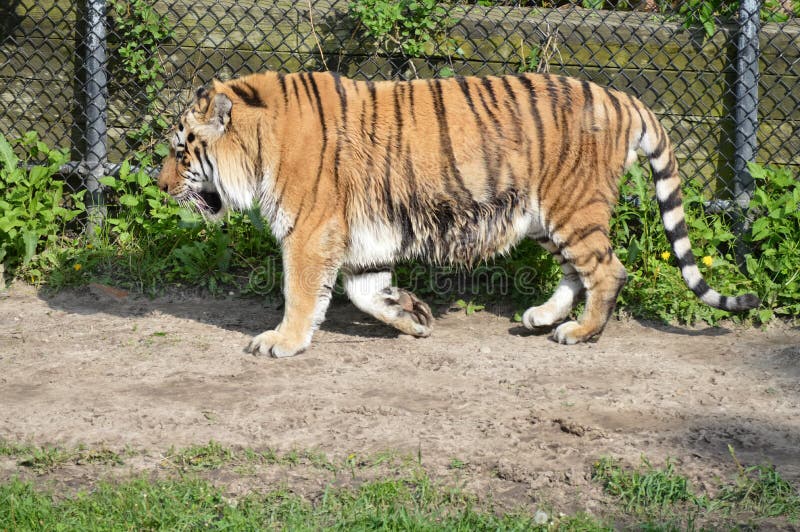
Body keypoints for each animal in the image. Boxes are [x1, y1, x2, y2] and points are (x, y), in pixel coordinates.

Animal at [157, 70, 759, 358]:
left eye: (181, 150)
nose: (160, 186)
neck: (259, 144)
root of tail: (622, 97)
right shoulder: (356, 236)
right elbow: (363, 292)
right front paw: (413, 316)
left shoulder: (310, 232)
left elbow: (301, 294)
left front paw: (281, 341)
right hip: (543, 215)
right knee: (577, 271)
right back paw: (543, 317)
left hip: (571, 205)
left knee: (608, 271)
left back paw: (579, 333)